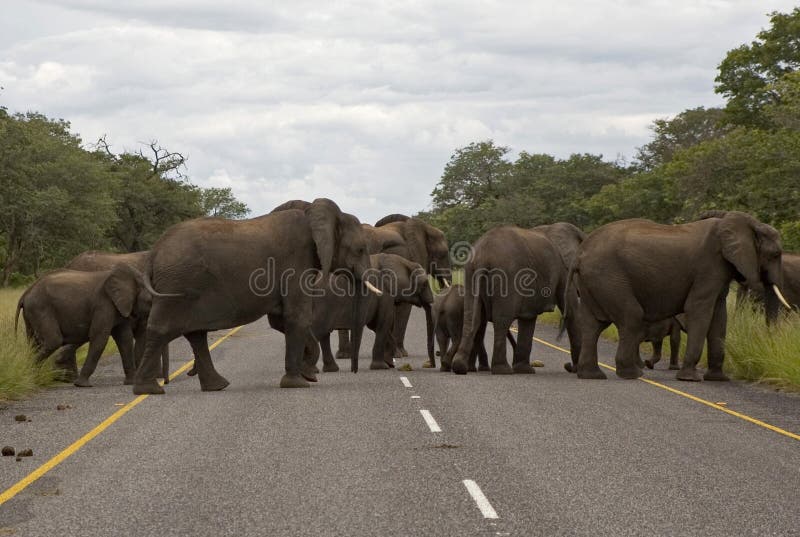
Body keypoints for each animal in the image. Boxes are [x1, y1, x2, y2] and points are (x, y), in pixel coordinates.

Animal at [15, 264, 163, 387]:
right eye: (151, 300)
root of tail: (26, 292)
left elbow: (124, 339)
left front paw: (131, 383)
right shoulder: (103, 304)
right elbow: (100, 337)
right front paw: (82, 385)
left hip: (31, 313)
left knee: (33, 343)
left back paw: (33, 379)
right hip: (40, 308)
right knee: (53, 341)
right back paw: (34, 378)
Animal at [131, 198, 379, 394]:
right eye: (360, 249)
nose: (354, 371)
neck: (313, 212)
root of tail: (154, 252)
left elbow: (281, 320)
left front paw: (308, 373)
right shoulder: (296, 263)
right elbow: (296, 317)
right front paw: (299, 382)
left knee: (196, 334)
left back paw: (216, 386)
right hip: (177, 285)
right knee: (163, 329)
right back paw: (148, 389)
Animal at [450, 222, 585, 375]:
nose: (567, 366)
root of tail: (482, 256)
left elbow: (528, 318)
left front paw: (525, 370)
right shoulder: (564, 270)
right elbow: (573, 312)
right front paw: (576, 369)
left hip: (470, 274)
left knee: (472, 316)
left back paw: (460, 367)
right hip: (506, 276)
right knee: (502, 319)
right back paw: (503, 370)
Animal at [569, 211, 790, 382]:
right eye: (776, 254)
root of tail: (580, 254)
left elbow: (719, 316)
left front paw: (718, 379)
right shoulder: (709, 267)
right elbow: (699, 309)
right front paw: (689, 378)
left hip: (594, 281)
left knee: (592, 325)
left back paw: (593, 376)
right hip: (608, 276)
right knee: (631, 316)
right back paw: (632, 375)